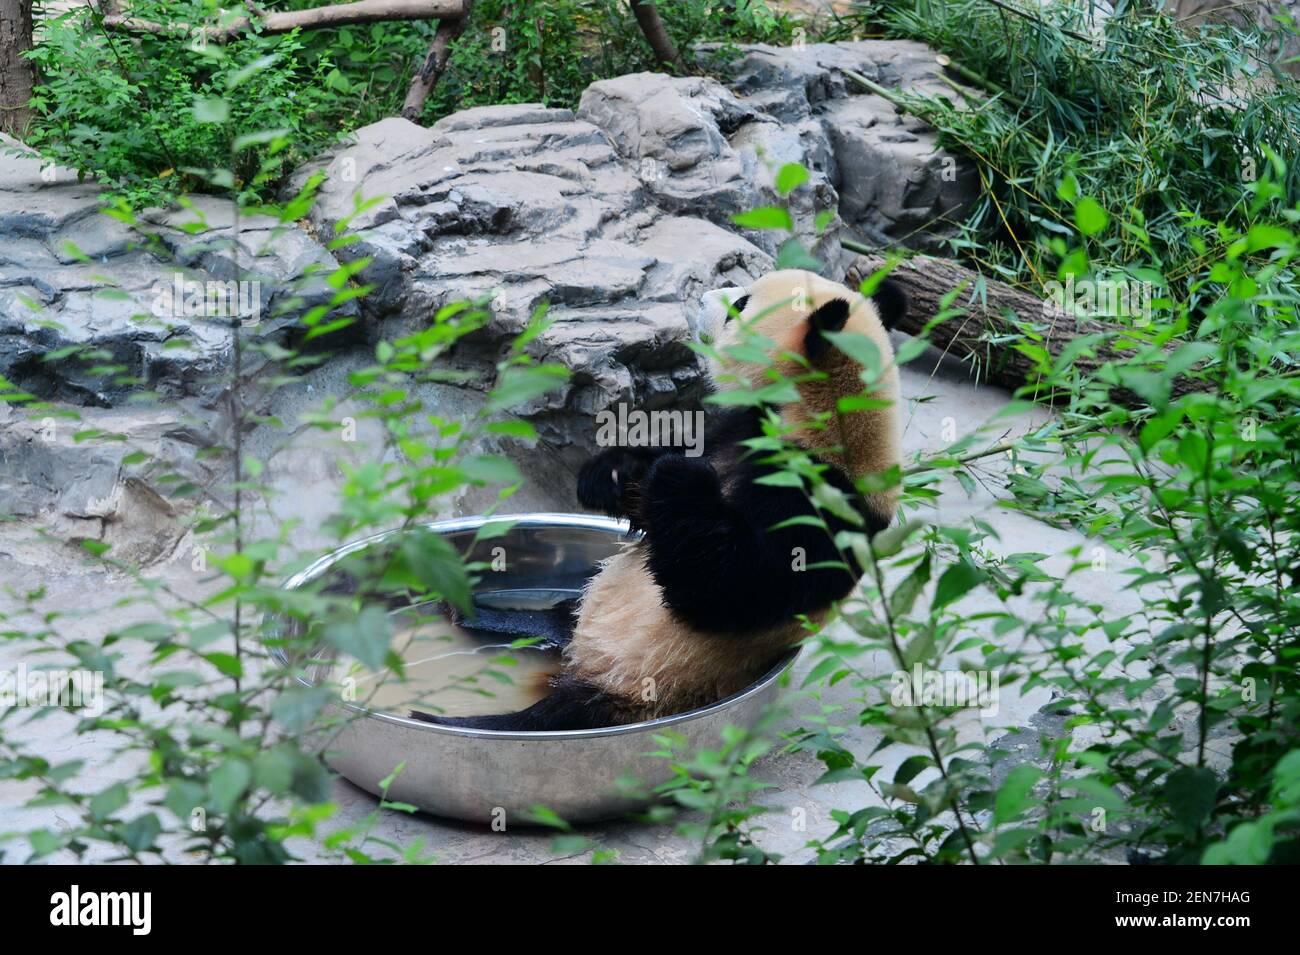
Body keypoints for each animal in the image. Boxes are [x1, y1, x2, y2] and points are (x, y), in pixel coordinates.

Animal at [410, 268, 905, 731]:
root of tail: (577, 666)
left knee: (557, 717)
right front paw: (612, 474)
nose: (703, 299)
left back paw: (444, 718)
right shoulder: (739, 428)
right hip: (581, 619)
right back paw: (467, 611)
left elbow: (736, 586)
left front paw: (678, 478)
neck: (820, 417)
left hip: (644, 687)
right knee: (549, 620)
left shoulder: (819, 498)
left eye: (741, 305)